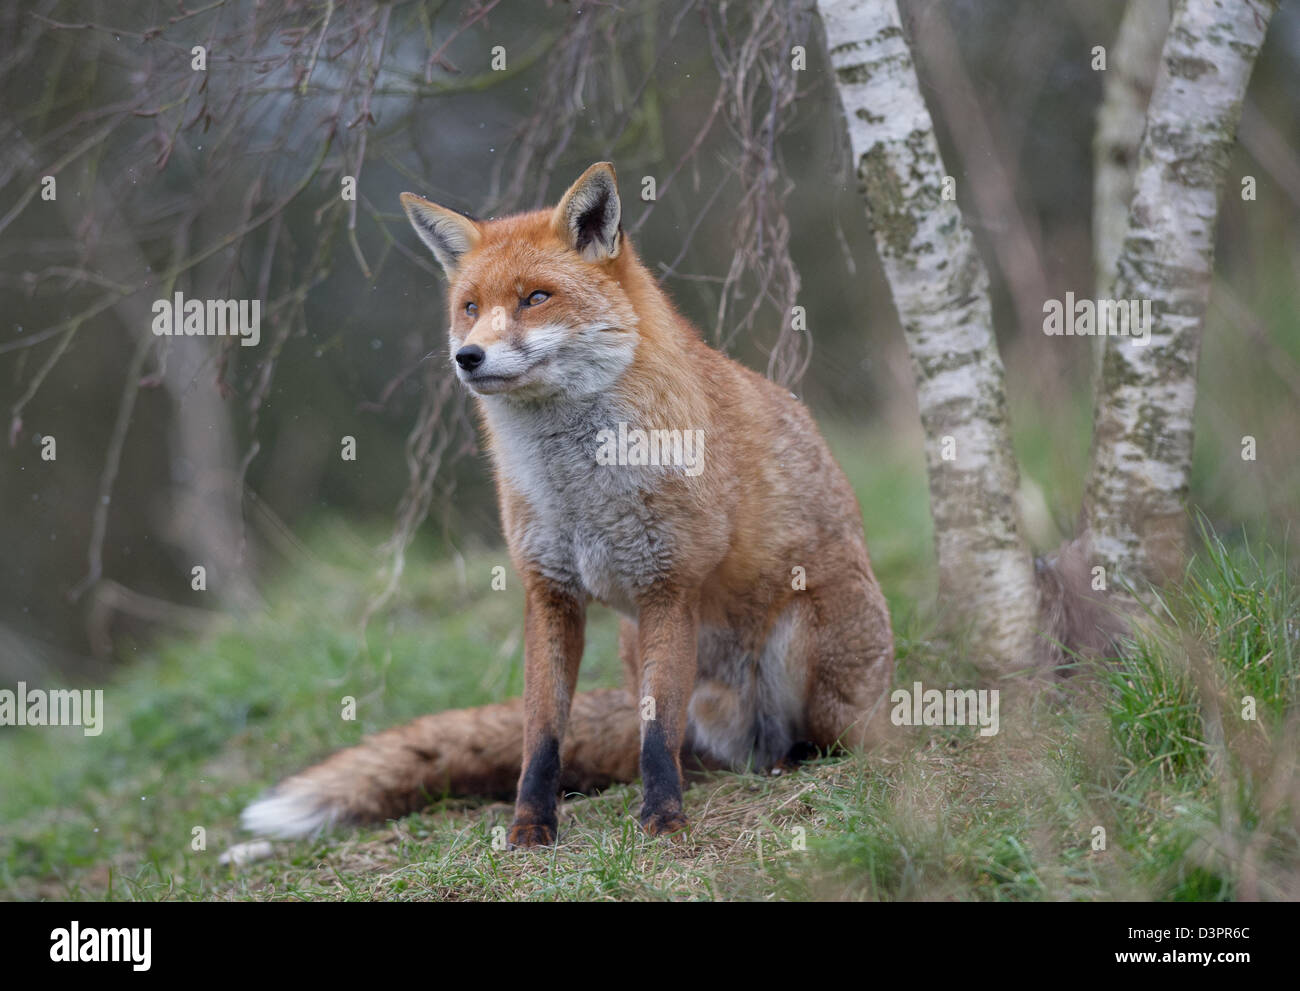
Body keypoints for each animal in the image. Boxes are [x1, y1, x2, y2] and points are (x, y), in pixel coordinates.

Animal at [240, 162, 895, 847]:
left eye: (535, 298)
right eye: (470, 307)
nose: (467, 356)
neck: (579, 491)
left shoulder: (670, 586)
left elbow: (655, 734)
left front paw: (663, 819)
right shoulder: (549, 588)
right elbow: (543, 732)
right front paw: (531, 827)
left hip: (802, 640)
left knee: (826, 740)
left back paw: (797, 758)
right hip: (655, 663)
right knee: (695, 748)